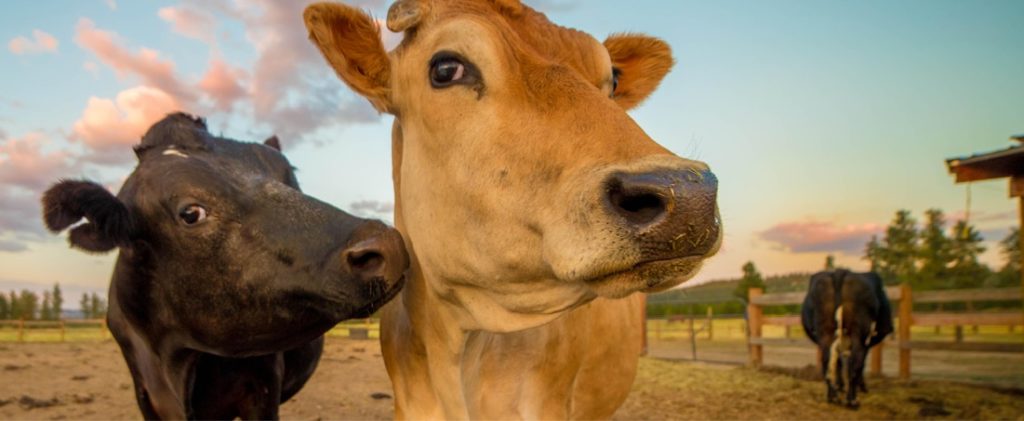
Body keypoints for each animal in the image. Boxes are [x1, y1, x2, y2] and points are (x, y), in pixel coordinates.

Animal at [41, 113, 409, 420]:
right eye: (191, 212)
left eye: (289, 179)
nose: (387, 244)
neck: (177, 359)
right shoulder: (146, 396)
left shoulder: (262, 388)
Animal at [801, 270, 893, 409]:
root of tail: (840, 272)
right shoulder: (866, 342)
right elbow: (858, 365)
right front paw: (861, 387)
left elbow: (839, 363)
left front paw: (840, 386)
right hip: (859, 334)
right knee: (855, 363)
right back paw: (852, 401)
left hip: (825, 332)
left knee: (827, 361)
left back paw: (833, 397)